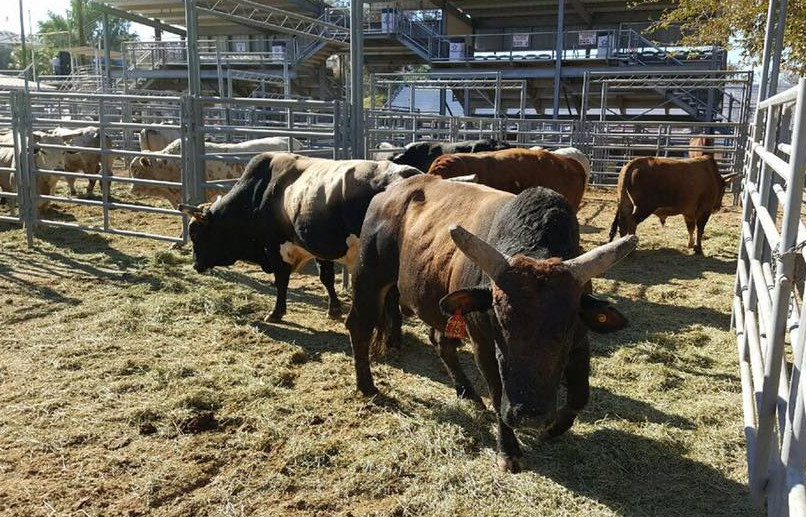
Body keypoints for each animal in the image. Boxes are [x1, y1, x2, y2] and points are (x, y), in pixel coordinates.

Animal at [179, 152, 421, 322]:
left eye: (195, 233)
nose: (195, 265)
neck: (258, 194)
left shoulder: (275, 246)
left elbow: (281, 280)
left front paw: (276, 312)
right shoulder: (319, 247)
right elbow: (326, 278)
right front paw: (334, 309)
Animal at [345, 175, 636, 472]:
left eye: (567, 320)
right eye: (498, 315)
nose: (529, 415)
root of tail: (391, 190)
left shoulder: (579, 342)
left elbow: (580, 395)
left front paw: (553, 429)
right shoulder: (483, 345)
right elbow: (497, 394)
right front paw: (508, 449)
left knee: (441, 343)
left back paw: (468, 394)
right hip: (369, 280)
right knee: (359, 327)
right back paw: (367, 386)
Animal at [608, 155, 737, 254]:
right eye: (723, 190)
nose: (717, 207)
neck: (711, 175)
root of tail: (632, 164)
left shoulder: (688, 213)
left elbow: (691, 228)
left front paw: (690, 244)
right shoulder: (705, 210)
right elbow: (700, 229)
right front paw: (698, 248)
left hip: (625, 203)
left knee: (622, 222)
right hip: (644, 207)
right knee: (632, 221)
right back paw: (631, 248)